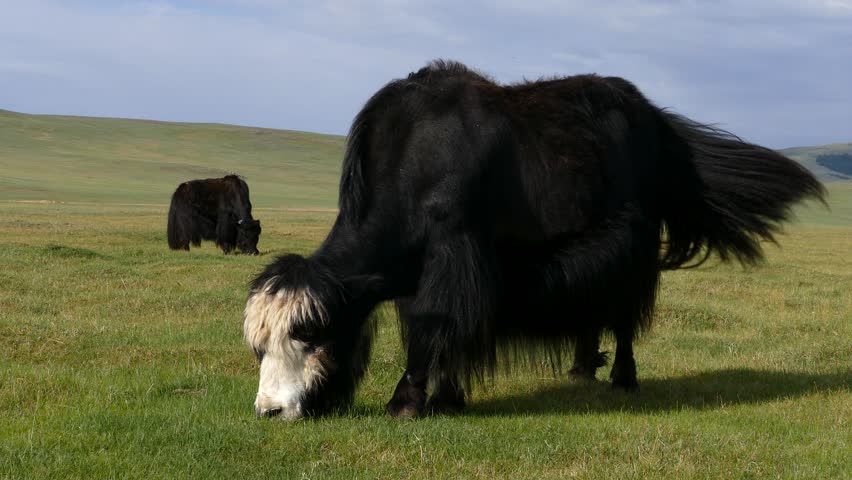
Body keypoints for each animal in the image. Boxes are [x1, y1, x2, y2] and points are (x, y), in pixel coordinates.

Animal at [243, 60, 824, 419]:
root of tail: (657, 121)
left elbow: (435, 326)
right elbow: (431, 329)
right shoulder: (421, 271)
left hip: (633, 246)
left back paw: (622, 377)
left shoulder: (454, 255)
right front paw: (448, 398)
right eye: (259, 346)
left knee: (624, 311)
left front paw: (407, 404)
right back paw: (580, 368)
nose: (270, 411)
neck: (410, 165)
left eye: (308, 334)